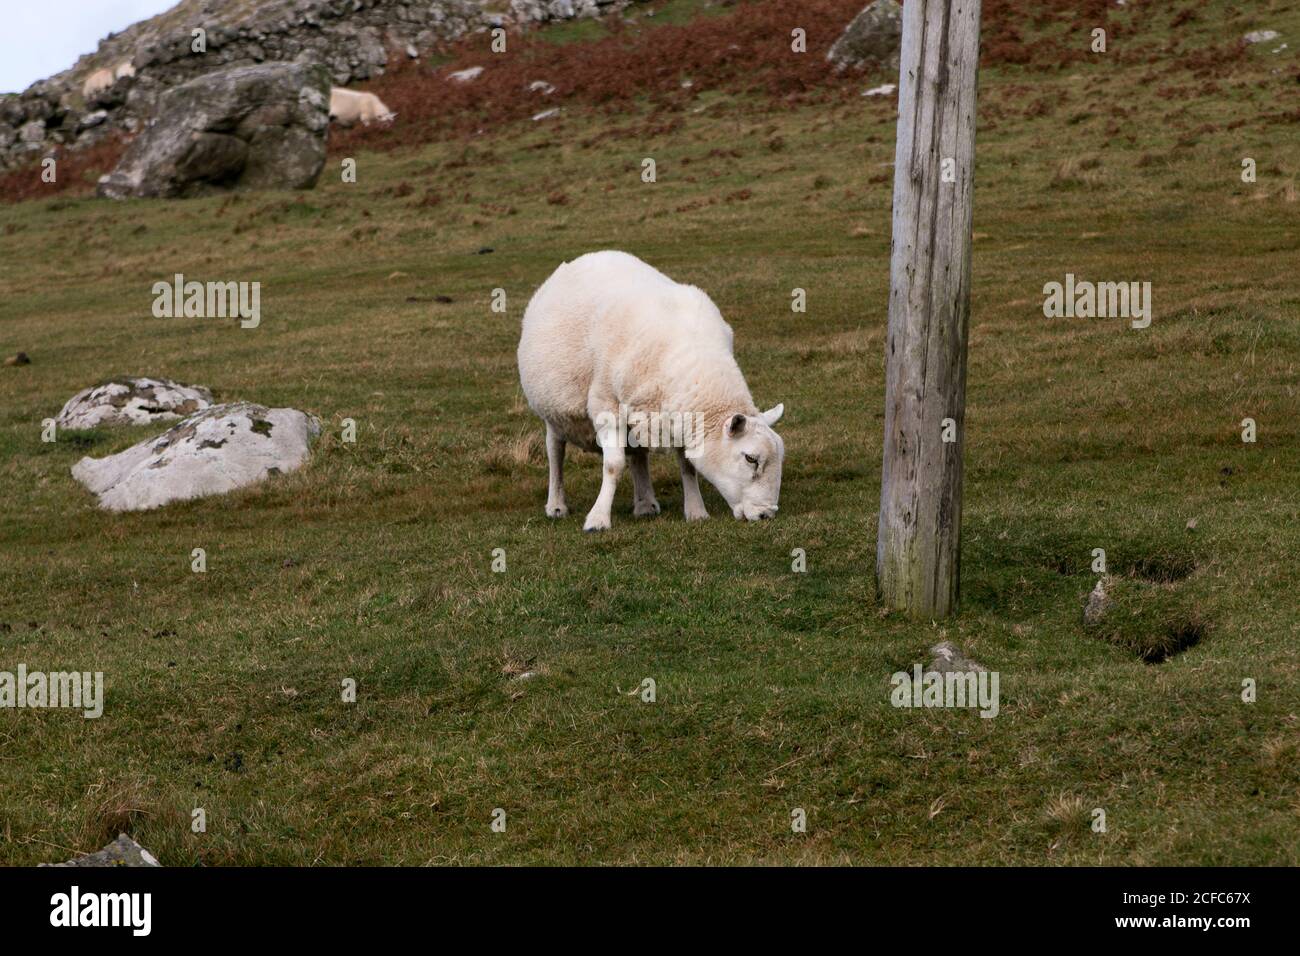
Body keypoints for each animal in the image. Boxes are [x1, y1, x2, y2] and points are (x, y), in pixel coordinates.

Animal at [518, 251, 786, 531]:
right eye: (751, 459)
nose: (766, 514)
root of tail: (591, 255)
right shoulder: (606, 405)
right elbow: (613, 466)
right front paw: (598, 519)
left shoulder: (677, 414)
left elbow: (687, 465)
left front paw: (696, 511)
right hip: (555, 413)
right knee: (555, 450)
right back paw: (556, 505)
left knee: (638, 455)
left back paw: (645, 503)